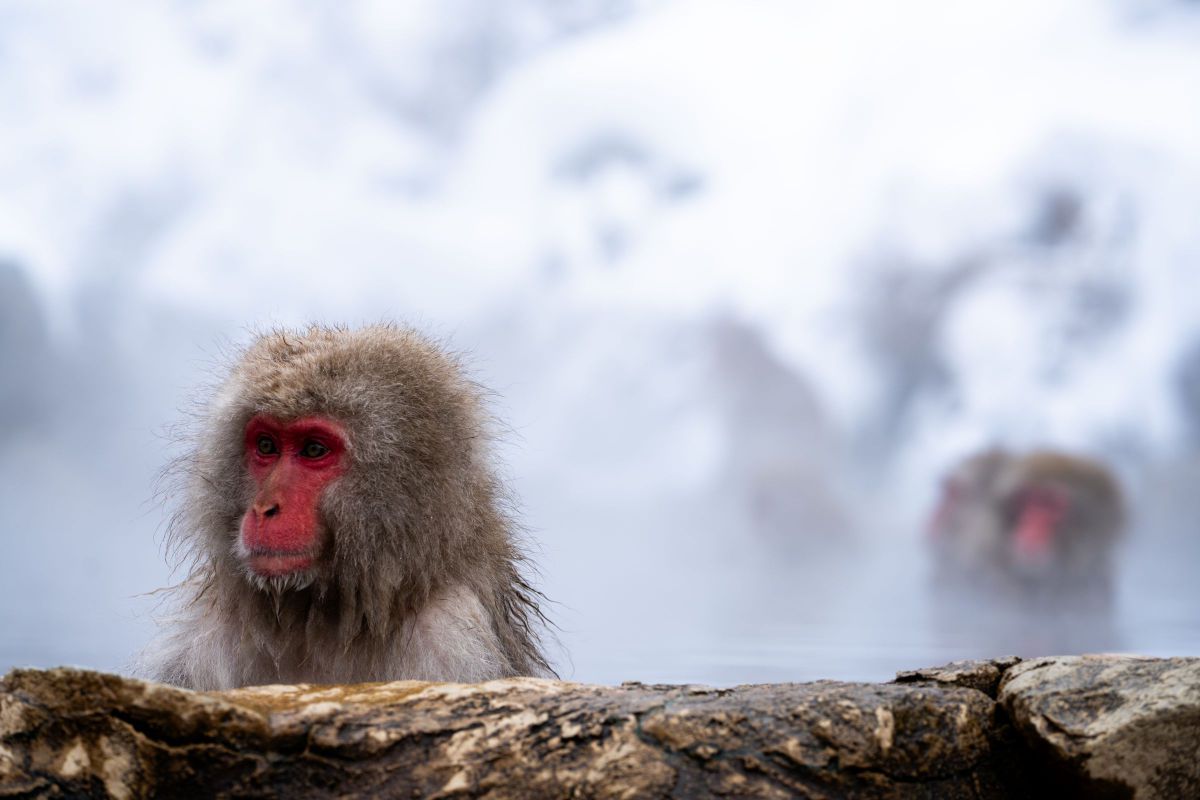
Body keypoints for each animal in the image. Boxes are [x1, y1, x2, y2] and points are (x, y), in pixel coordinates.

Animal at [141, 324, 553, 689]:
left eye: (313, 449)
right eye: (266, 445)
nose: (263, 509)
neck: (325, 617)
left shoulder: (450, 639)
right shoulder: (200, 641)